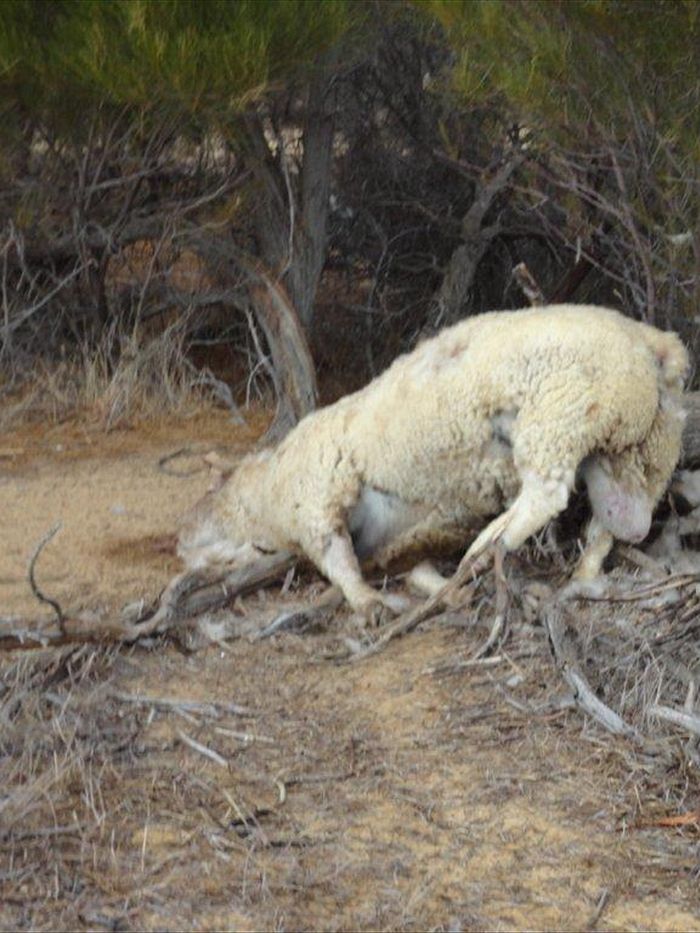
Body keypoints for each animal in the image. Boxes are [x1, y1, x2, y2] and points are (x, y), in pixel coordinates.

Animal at [178, 304, 688, 621]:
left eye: (210, 492)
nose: (179, 543)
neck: (267, 489)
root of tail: (659, 348)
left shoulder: (318, 499)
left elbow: (338, 560)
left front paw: (367, 604)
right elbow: (409, 565)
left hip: (559, 415)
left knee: (546, 495)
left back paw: (488, 544)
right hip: (639, 448)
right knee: (623, 520)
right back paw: (581, 573)